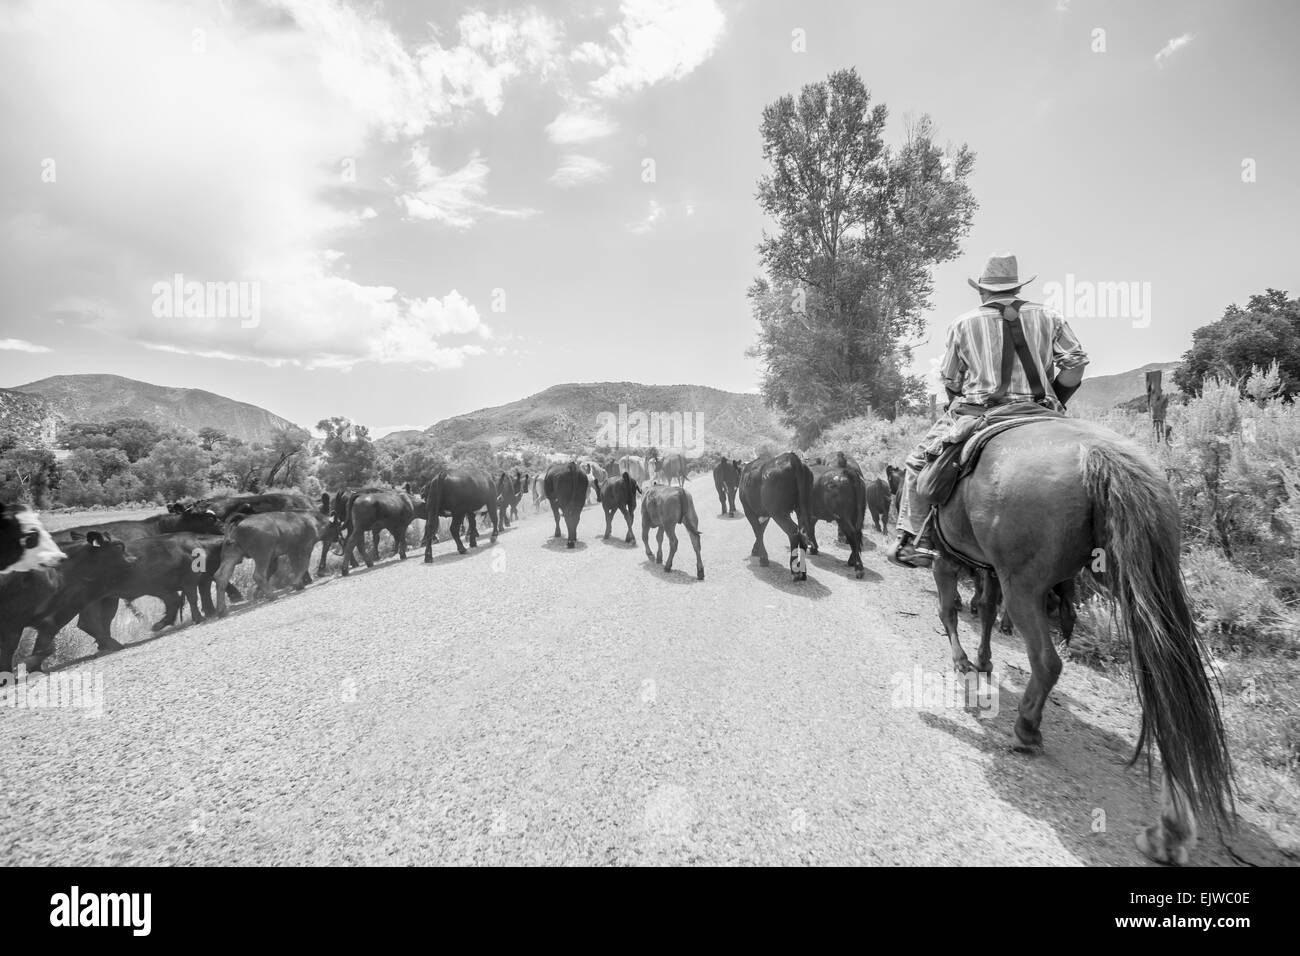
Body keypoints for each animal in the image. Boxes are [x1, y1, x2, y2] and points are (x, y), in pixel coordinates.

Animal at [0, 532, 136, 673]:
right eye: (118, 546)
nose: (134, 559)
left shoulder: (54, 619)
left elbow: (46, 649)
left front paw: (30, 666)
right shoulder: (13, 620)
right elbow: (8, 648)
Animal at [738, 452, 815, 581]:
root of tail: (790, 457)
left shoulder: (748, 511)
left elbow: (757, 531)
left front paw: (763, 558)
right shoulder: (766, 514)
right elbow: (761, 531)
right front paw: (757, 550)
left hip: (779, 512)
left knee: (794, 532)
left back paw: (795, 571)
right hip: (803, 509)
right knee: (804, 533)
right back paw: (803, 571)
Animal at [929, 417, 1232, 865]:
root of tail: (1099, 454)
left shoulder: (948, 558)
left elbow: (951, 610)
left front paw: (963, 663)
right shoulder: (987, 567)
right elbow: (983, 609)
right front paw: (981, 661)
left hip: (1025, 585)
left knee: (1046, 661)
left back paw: (1026, 731)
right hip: (1140, 581)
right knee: (1165, 691)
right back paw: (1170, 829)